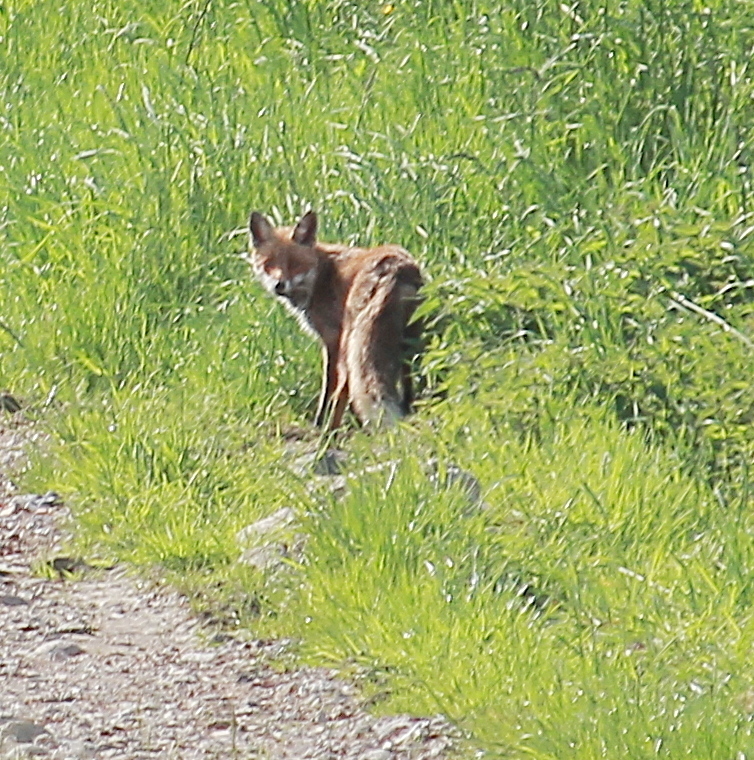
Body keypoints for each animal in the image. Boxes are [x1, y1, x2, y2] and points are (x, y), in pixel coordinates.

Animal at [248, 210, 423, 431]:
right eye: (269, 265)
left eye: (295, 264)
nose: (279, 285)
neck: (319, 277)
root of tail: (396, 268)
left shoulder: (332, 339)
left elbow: (330, 386)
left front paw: (321, 420)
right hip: (409, 336)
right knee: (407, 374)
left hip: (352, 339)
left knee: (347, 388)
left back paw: (331, 429)